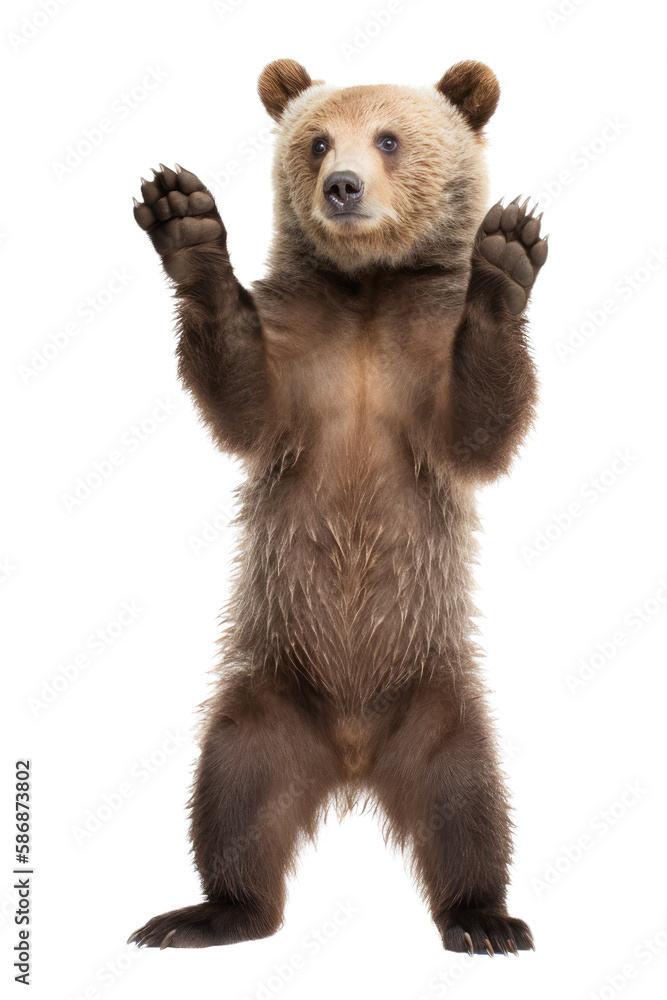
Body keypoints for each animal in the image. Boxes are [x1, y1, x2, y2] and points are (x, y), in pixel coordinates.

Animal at [128, 58, 547, 957]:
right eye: (317, 140)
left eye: (388, 138)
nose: (343, 186)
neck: (366, 293)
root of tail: (353, 759)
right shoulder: (301, 350)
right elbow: (243, 400)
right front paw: (184, 221)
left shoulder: (421, 357)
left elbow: (480, 428)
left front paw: (505, 257)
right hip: (266, 694)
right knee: (233, 793)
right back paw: (208, 912)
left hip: (438, 697)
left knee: (470, 802)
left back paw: (483, 917)